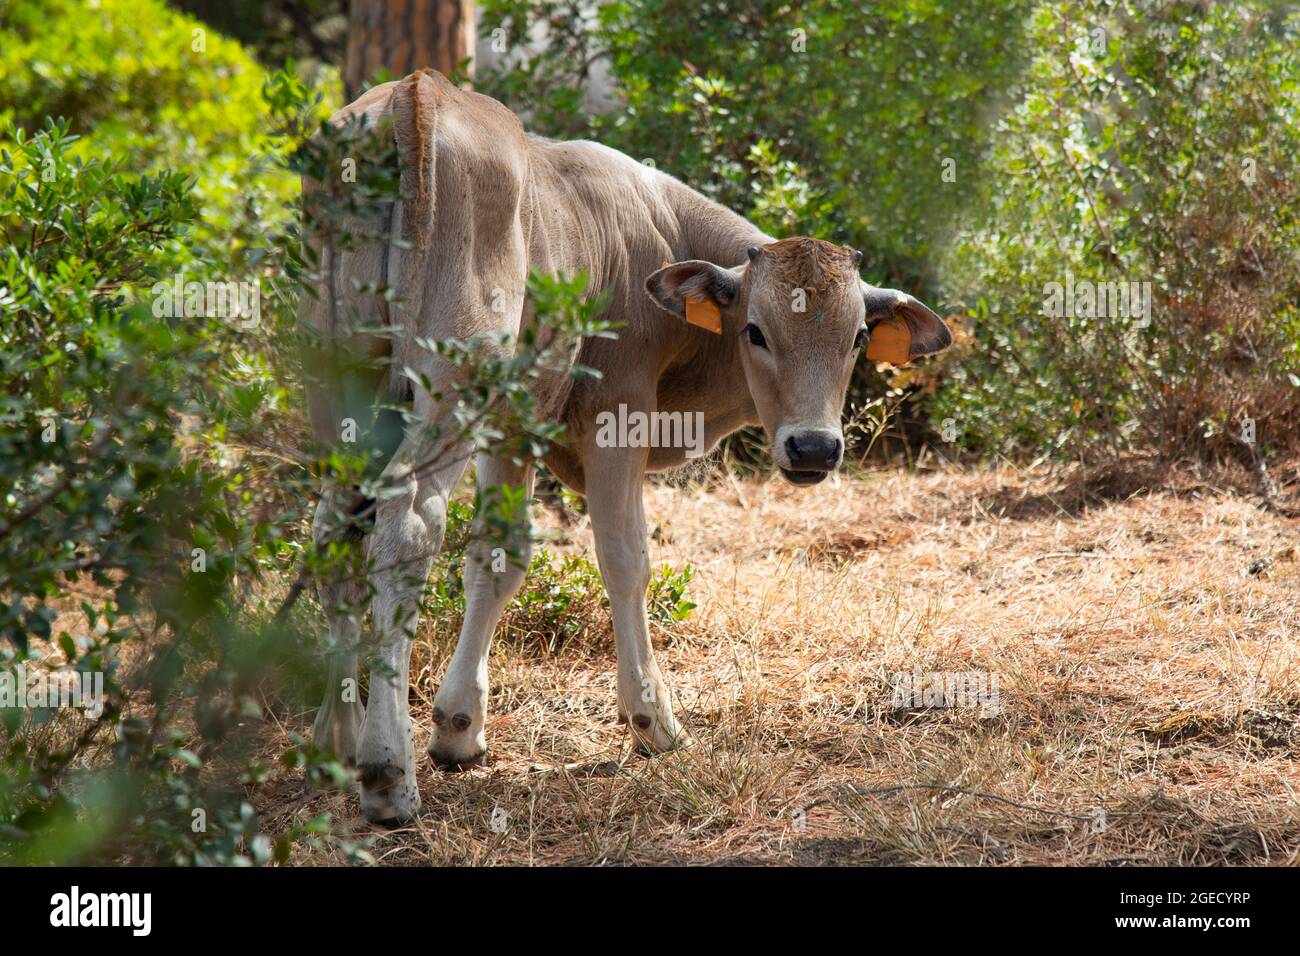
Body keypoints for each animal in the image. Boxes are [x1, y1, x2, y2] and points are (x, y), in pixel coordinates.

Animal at [299, 69, 951, 826]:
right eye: (755, 330)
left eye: (856, 337)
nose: (815, 448)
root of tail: (417, 92)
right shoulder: (616, 421)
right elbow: (625, 559)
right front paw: (653, 720)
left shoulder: (516, 429)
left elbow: (498, 558)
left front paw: (460, 727)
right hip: (450, 391)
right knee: (406, 529)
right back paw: (386, 772)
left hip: (339, 392)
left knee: (333, 529)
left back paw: (336, 739)